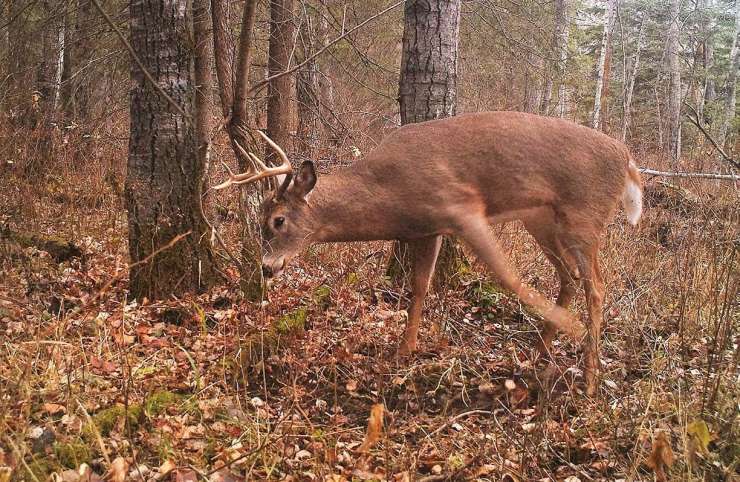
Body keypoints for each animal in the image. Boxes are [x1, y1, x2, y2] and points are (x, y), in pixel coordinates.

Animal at [216, 111, 643, 396]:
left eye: (278, 220)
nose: (266, 268)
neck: (390, 192)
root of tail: (628, 159)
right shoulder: (429, 228)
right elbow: (419, 287)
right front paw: (404, 351)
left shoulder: (461, 206)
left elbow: (508, 277)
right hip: (541, 220)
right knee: (570, 277)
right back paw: (538, 352)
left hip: (584, 216)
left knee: (597, 285)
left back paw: (589, 375)